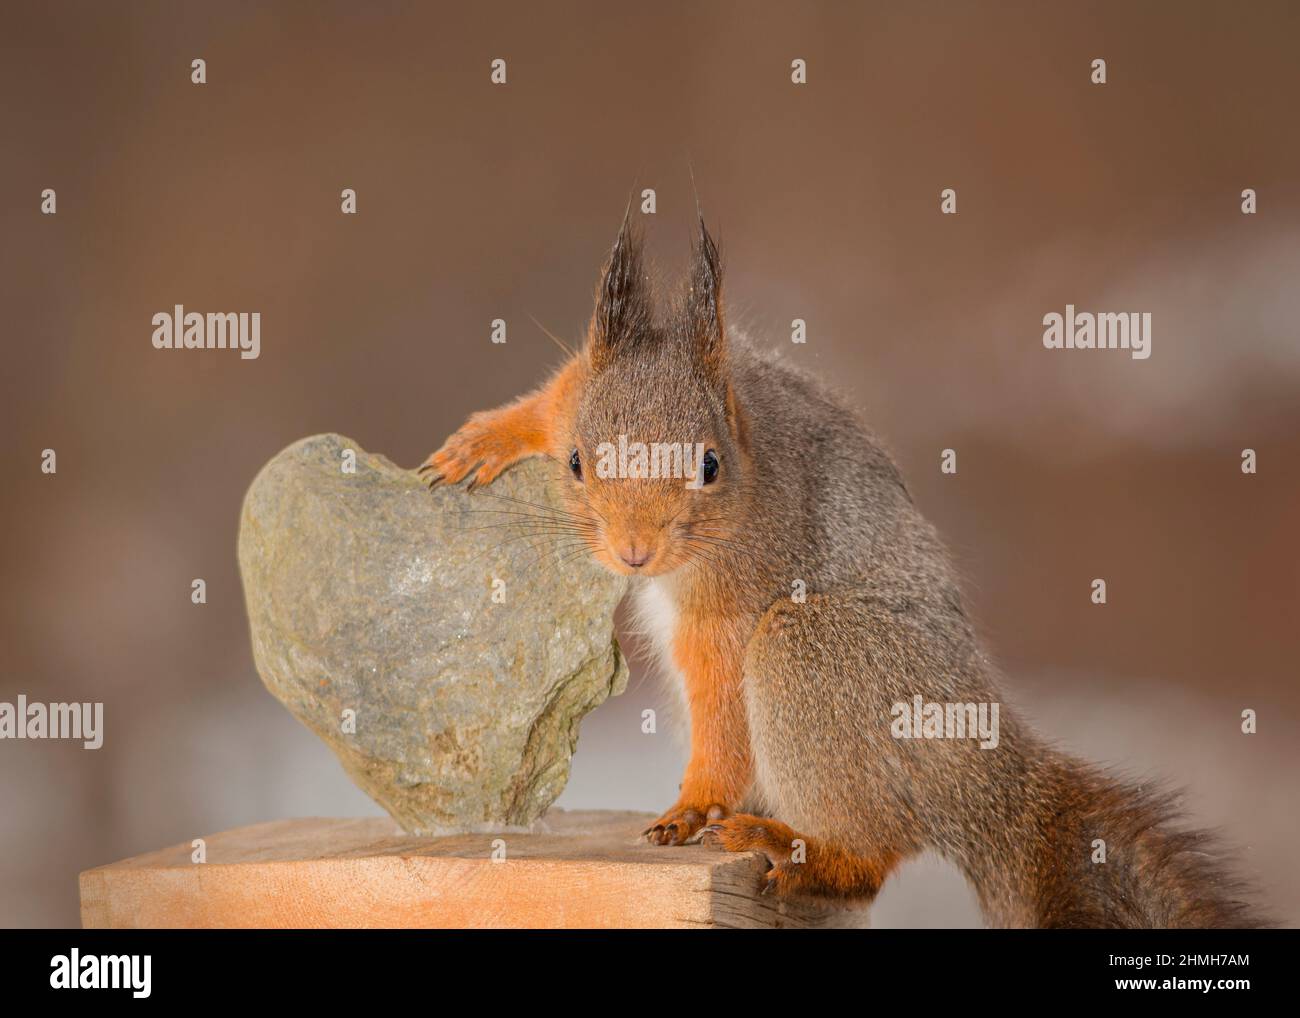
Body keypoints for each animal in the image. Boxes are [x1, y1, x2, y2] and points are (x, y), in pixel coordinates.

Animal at [420, 211, 1264, 928]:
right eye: (575, 462)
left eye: (709, 465)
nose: (635, 552)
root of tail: (986, 784)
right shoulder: (577, 389)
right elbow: (548, 399)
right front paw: (483, 439)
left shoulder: (738, 602)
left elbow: (722, 707)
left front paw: (695, 806)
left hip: (818, 658)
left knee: (870, 857)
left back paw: (796, 854)